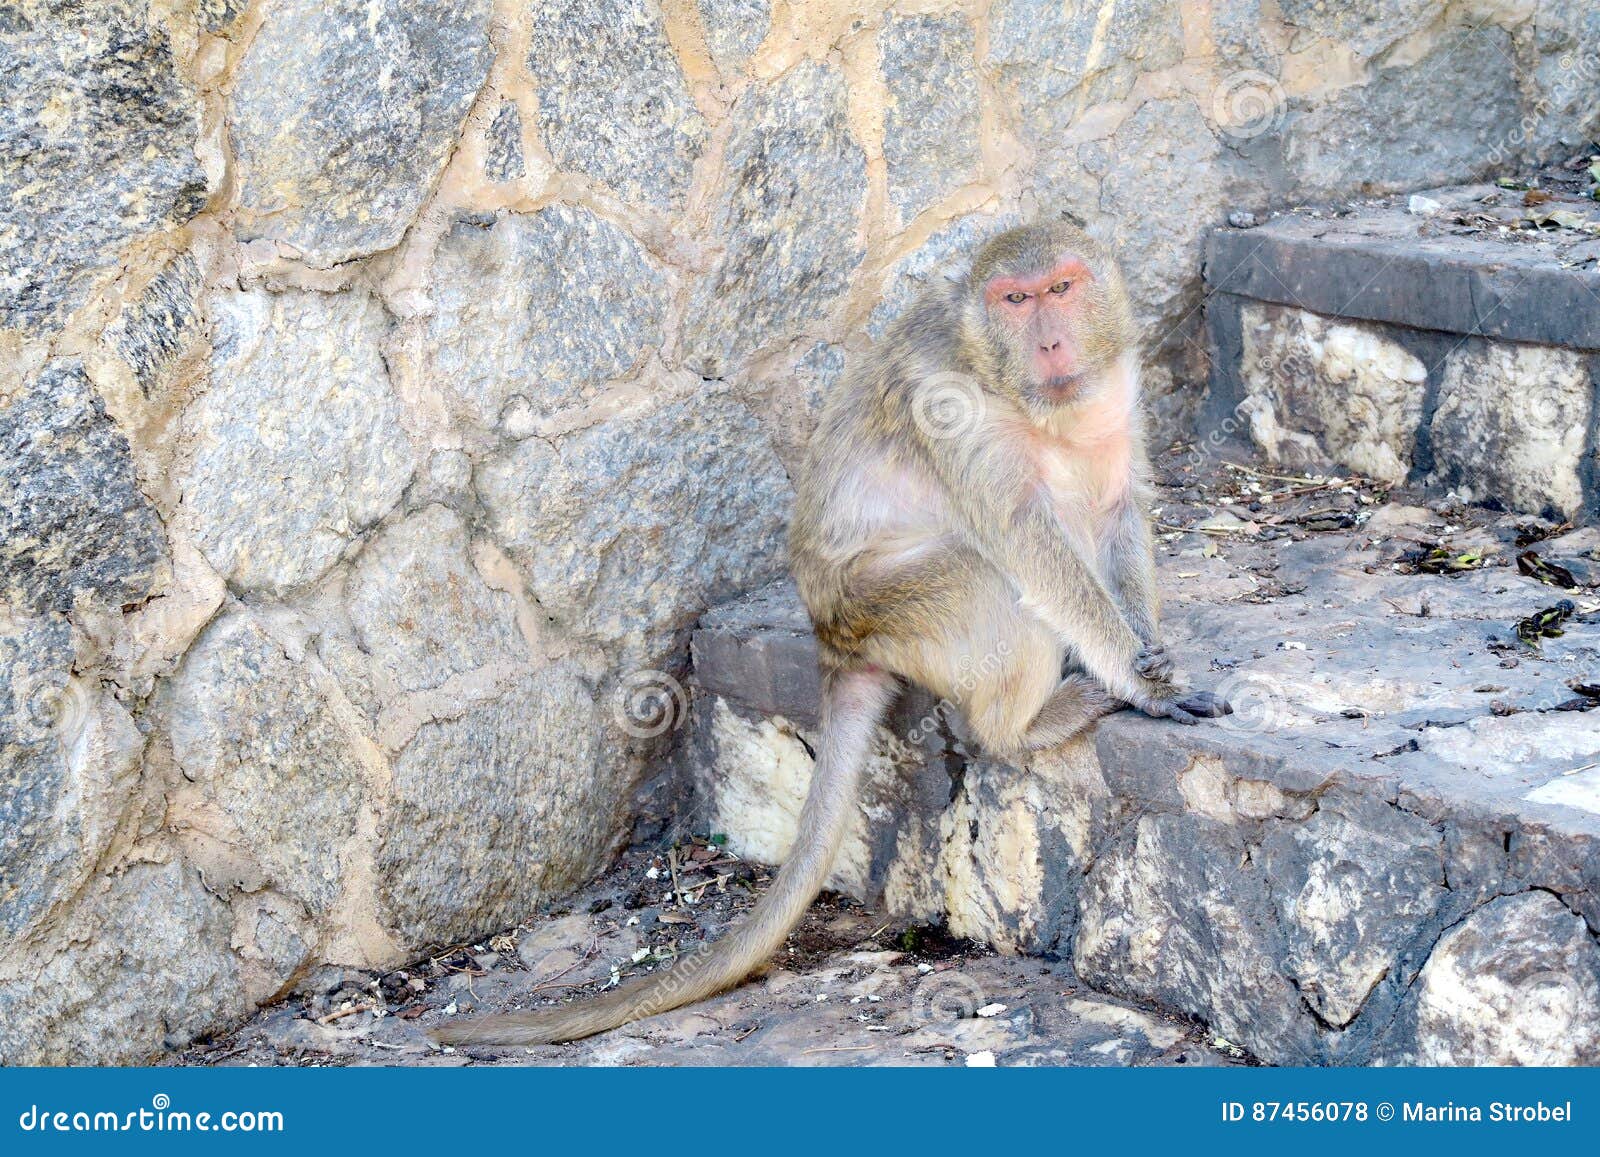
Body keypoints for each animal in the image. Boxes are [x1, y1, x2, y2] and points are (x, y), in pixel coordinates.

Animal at [430, 219, 1226, 1048]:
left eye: (1063, 287)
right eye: (1016, 299)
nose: (1049, 342)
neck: (1022, 390)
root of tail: (833, 642)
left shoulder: (1115, 385)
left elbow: (1117, 505)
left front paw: (1147, 650)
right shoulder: (959, 416)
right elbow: (1025, 539)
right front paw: (1140, 680)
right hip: (891, 607)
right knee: (984, 575)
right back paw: (1025, 723)